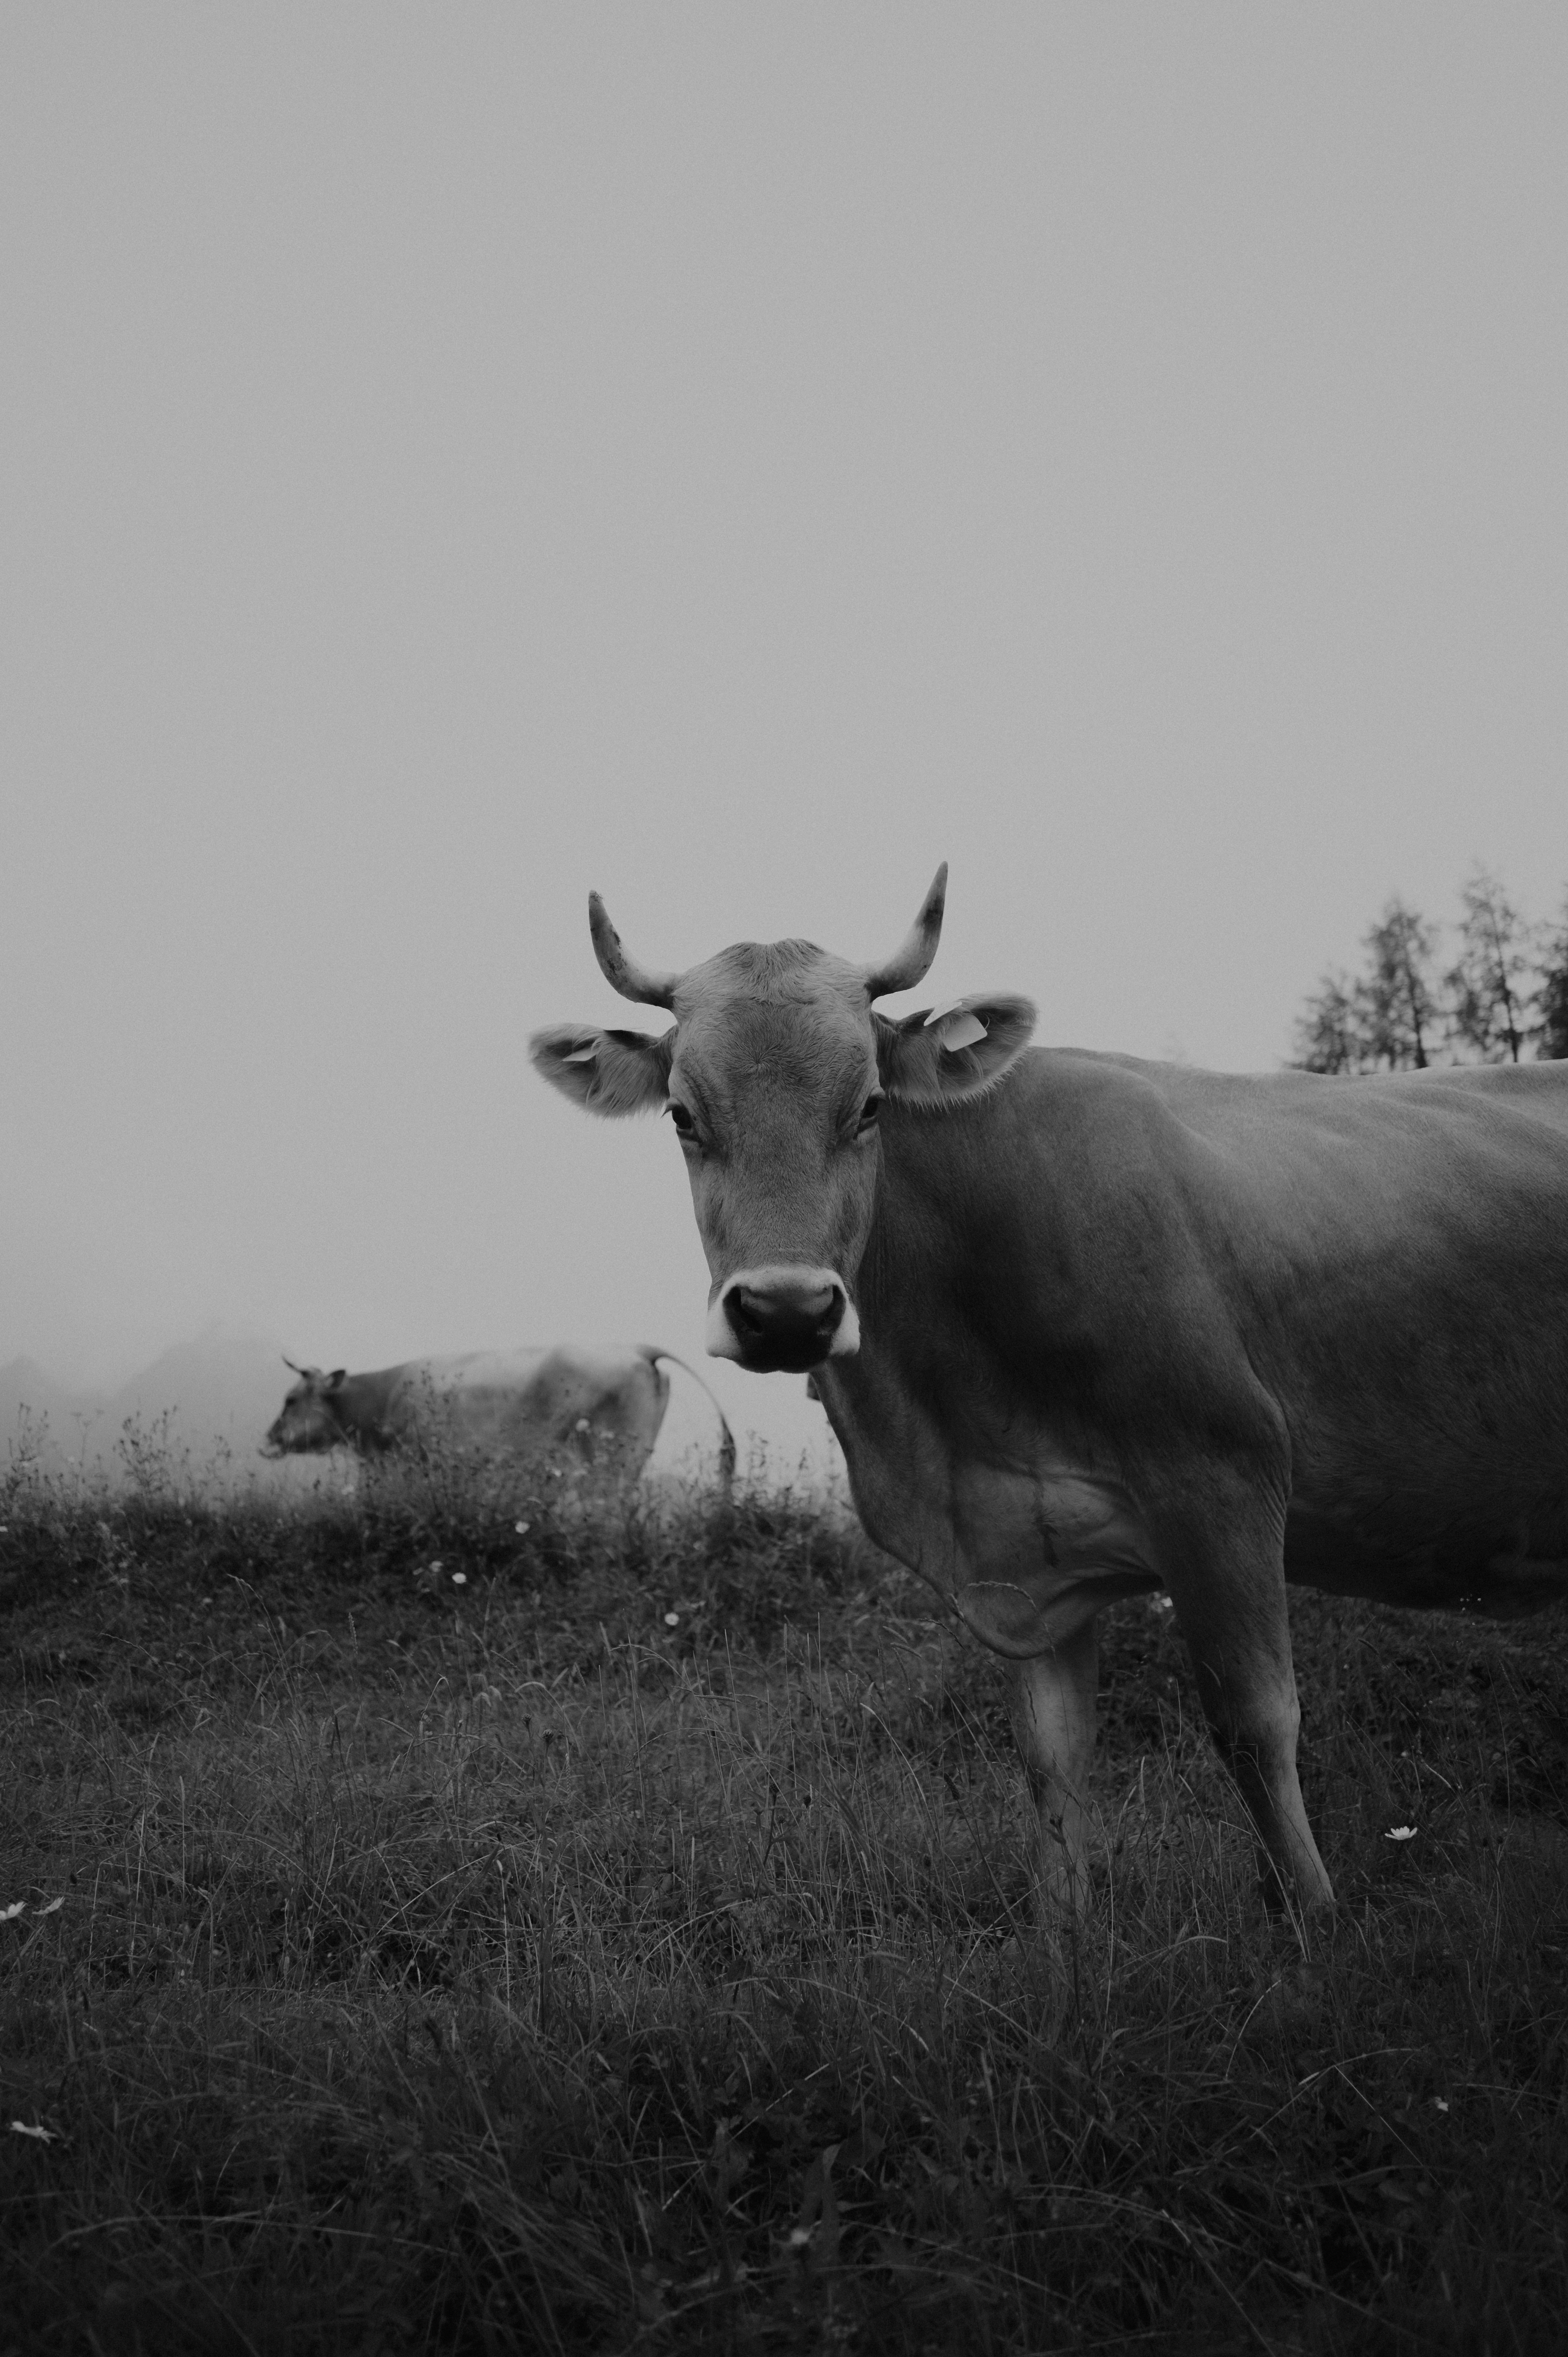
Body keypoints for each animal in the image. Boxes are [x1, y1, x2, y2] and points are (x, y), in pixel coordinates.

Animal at [530, 866, 1568, 1922]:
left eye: (869, 1106)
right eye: (681, 1116)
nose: (787, 1313)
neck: (940, 1427)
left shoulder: (1222, 1480)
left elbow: (1252, 1724)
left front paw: (1314, 1926)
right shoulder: (1024, 1560)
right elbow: (1052, 1772)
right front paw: (1066, 1945)